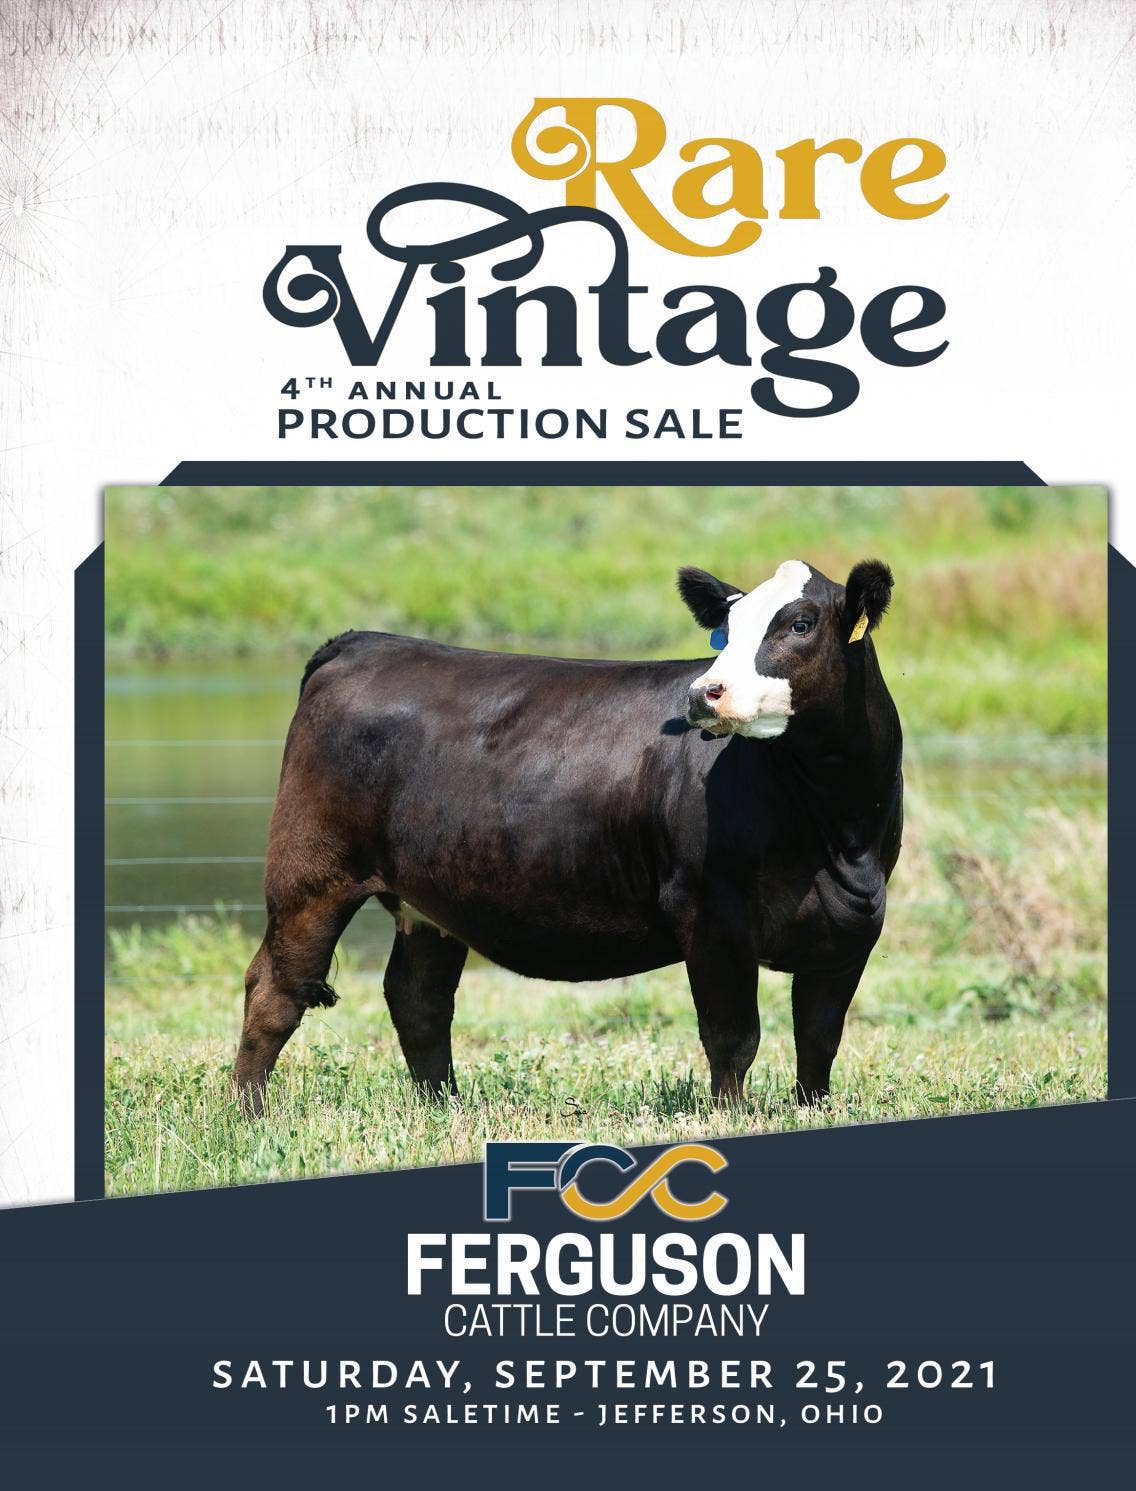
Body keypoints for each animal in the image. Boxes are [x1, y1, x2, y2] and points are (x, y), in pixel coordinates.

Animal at [234, 557, 902, 1116]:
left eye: (801, 623)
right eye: (728, 628)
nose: (702, 693)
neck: (837, 831)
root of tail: (363, 643)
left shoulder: (855, 927)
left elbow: (819, 1037)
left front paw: (811, 1110)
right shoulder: (711, 914)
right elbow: (733, 1035)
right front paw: (731, 1117)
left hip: (428, 896)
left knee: (418, 998)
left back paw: (444, 1109)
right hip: (311, 870)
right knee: (275, 989)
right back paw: (250, 1114)